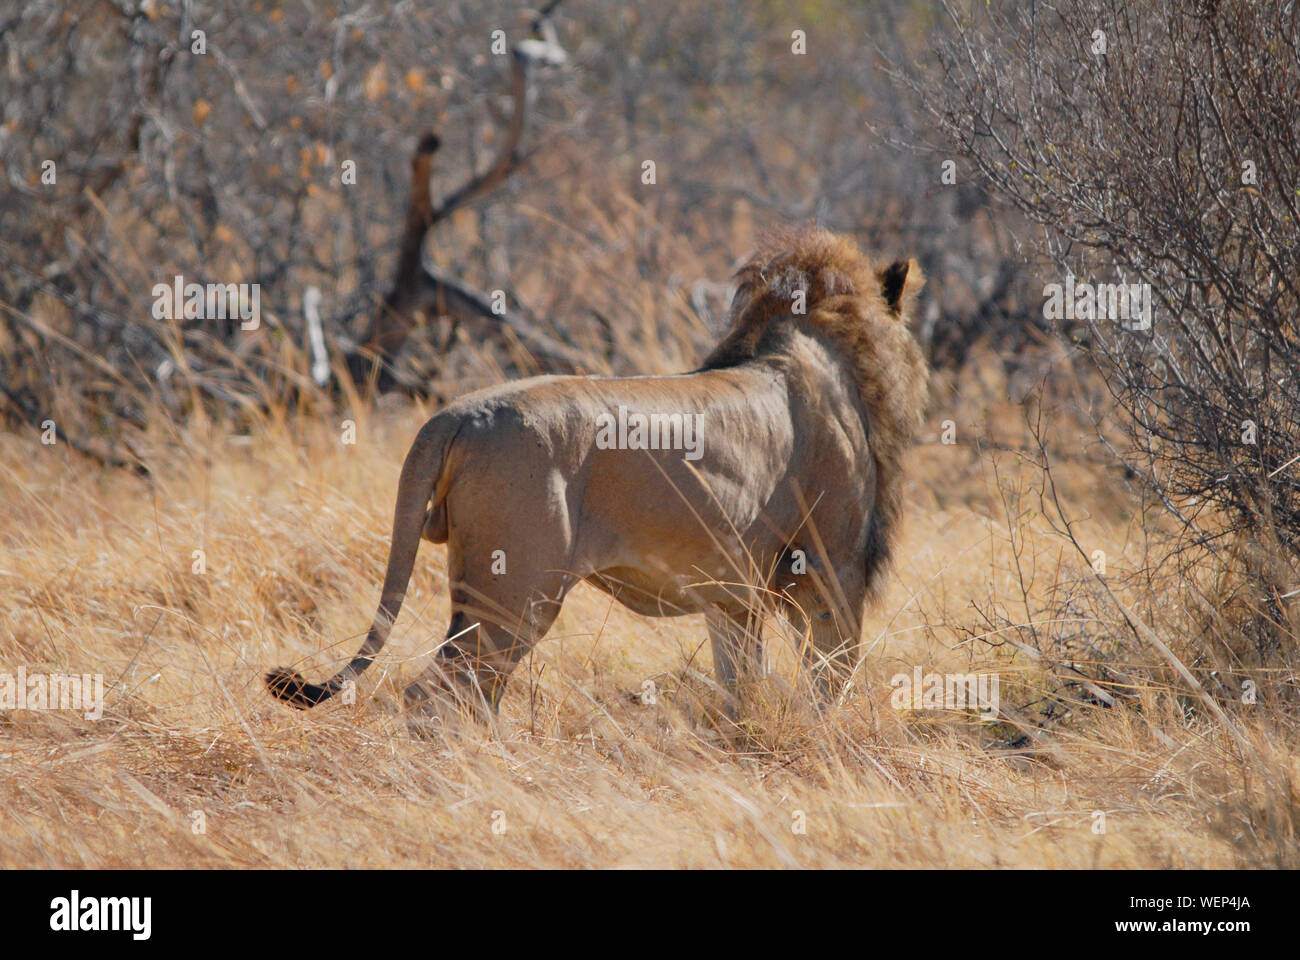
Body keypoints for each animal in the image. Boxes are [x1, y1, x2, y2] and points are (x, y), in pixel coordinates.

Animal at [266, 227, 929, 724]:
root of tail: (453, 416)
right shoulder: (833, 573)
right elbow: (829, 682)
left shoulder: (732, 596)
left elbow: (741, 683)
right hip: (518, 590)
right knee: (438, 693)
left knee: (470, 691)